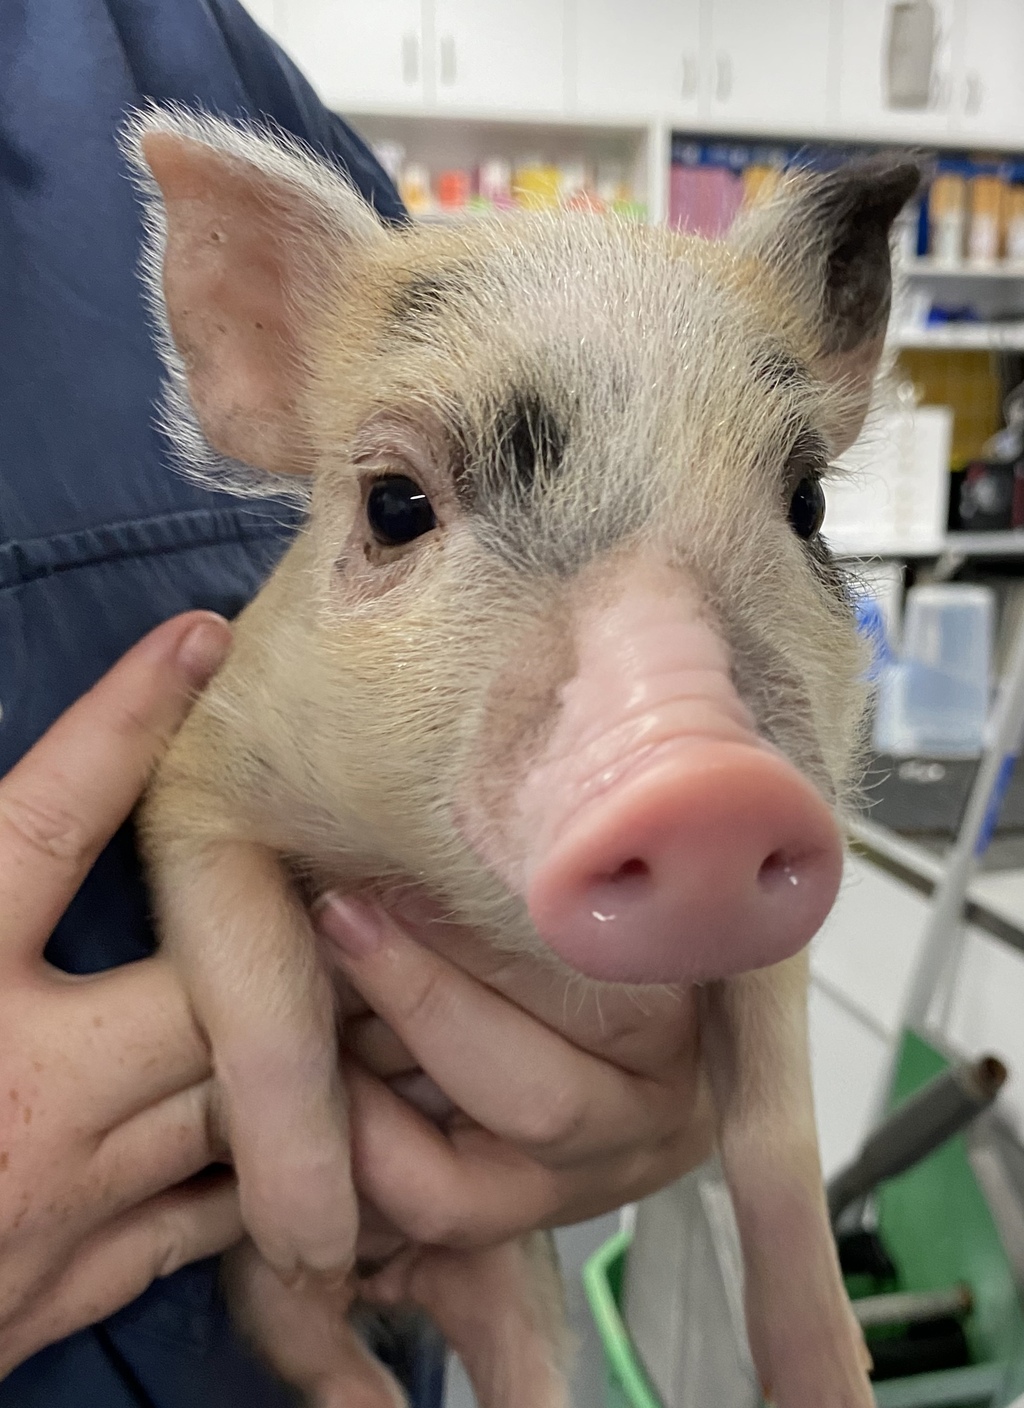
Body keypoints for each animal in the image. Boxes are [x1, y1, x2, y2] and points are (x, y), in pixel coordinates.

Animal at [129, 103, 918, 1408]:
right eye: (394, 504)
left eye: (805, 502)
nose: (707, 785)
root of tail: (407, 1282)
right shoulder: (197, 778)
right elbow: (264, 989)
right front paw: (312, 1227)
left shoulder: (779, 948)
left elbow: (774, 1133)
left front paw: (835, 1378)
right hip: (267, 1303)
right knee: (322, 1354)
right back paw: (336, 1281)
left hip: (517, 1277)